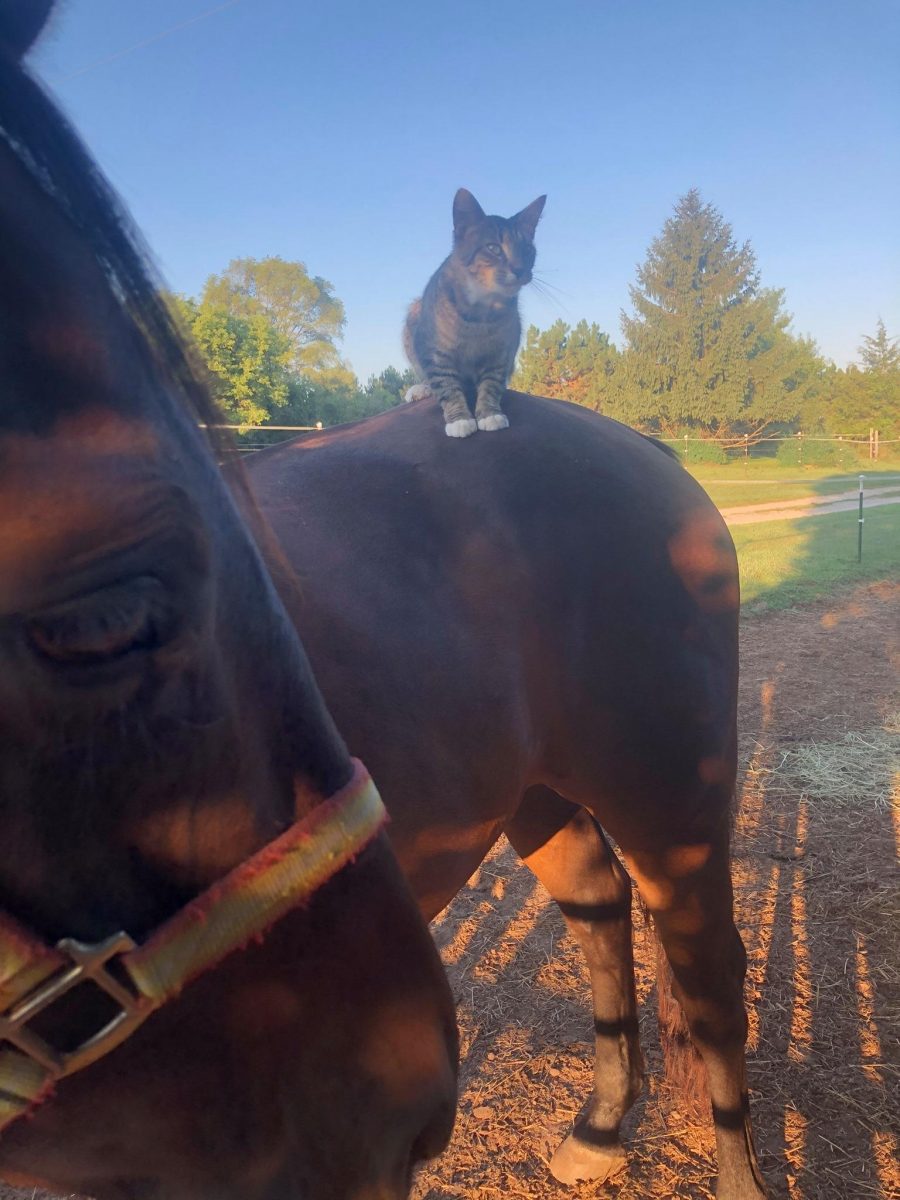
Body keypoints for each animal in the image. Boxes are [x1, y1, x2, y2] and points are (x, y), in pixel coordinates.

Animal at [246, 391, 770, 1199]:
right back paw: (600, 1127)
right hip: (533, 794)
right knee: (599, 898)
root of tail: (646, 452)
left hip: (669, 801)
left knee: (709, 975)